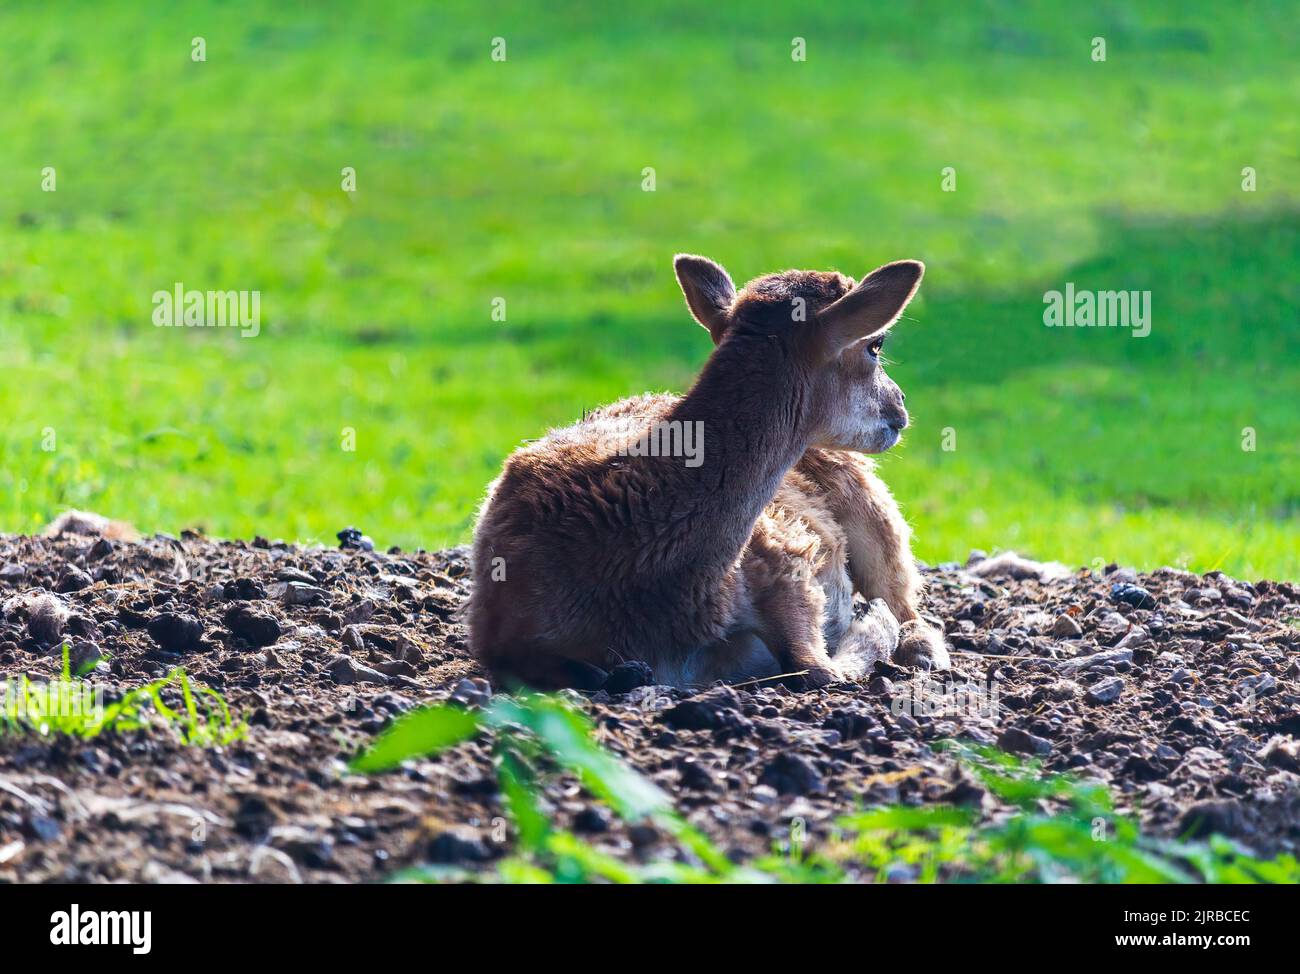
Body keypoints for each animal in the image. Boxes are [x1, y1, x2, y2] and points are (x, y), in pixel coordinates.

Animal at [467, 254, 950, 691]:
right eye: (876, 344)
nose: (901, 404)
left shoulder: (786, 566)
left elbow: (813, 665)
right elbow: (818, 672)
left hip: (871, 505)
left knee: (904, 596)